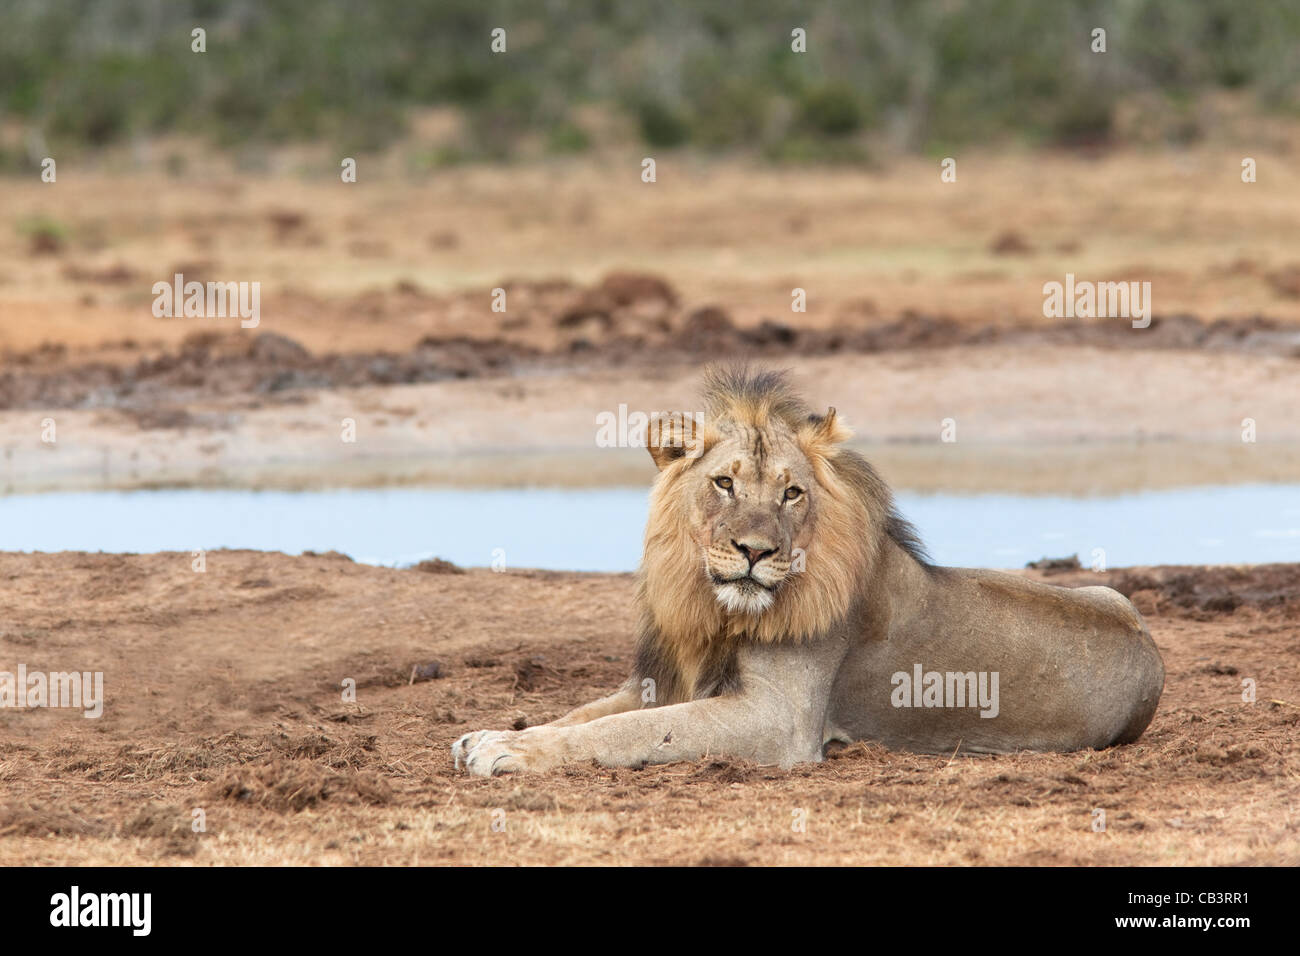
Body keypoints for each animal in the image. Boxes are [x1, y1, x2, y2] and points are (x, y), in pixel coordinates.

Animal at [453, 366, 1165, 776]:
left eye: (793, 493)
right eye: (724, 483)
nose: (754, 551)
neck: (714, 612)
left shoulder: (779, 718)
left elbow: (627, 731)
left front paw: (509, 751)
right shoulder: (661, 681)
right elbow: (584, 715)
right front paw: (488, 735)